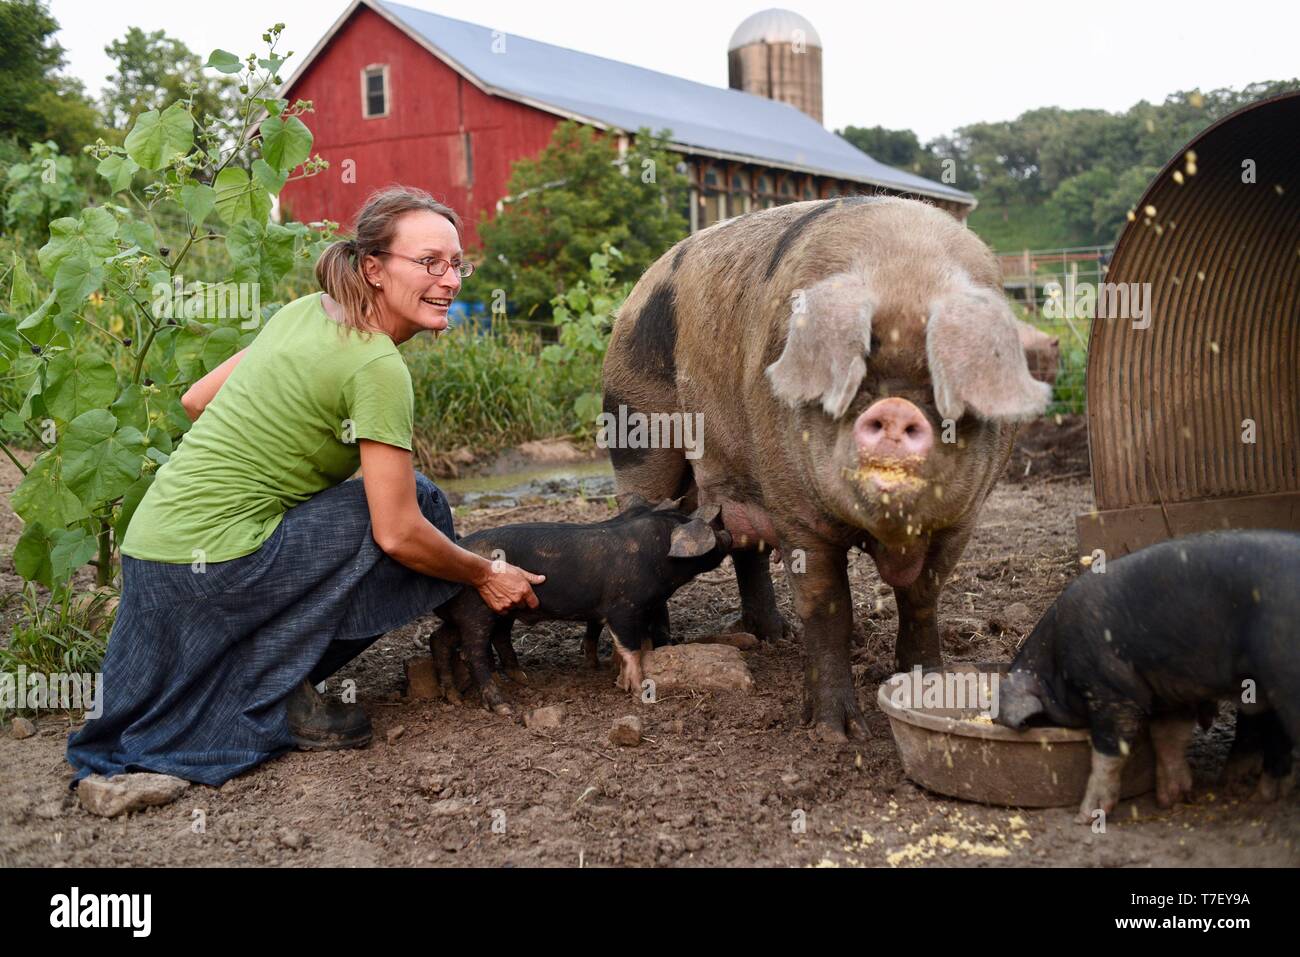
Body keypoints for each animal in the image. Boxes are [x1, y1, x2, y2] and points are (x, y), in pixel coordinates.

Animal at [429, 500, 731, 714]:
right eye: (710, 532)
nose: (728, 532)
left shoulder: (646, 607)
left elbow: (642, 643)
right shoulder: (622, 607)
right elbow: (631, 646)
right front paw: (636, 690)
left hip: (478, 613)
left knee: (439, 638)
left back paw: (462, 696)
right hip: (476, 610)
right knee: (473, 652)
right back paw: (503, 707)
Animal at [601, 196, 1053, 741]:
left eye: (942, 387)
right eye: (858, 384)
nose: (896, 410)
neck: (904, 276)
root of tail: (636, 292)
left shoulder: (963, 519)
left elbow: (923, 596)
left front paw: (926, 682)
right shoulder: (797, 508)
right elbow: (828, 606)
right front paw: (837, 733)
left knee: (746, 547)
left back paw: (773, 637)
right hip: (635, 423)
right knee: (641, 519)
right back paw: (663, 644)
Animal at [996, 530, 1300, 822]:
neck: (1056, 660)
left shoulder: (1110, 689)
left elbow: (1110, 748)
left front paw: (1085, 817)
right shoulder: (1172, 689)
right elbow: (1169, 735)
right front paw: (1171, 800)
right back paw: (1257, 792)